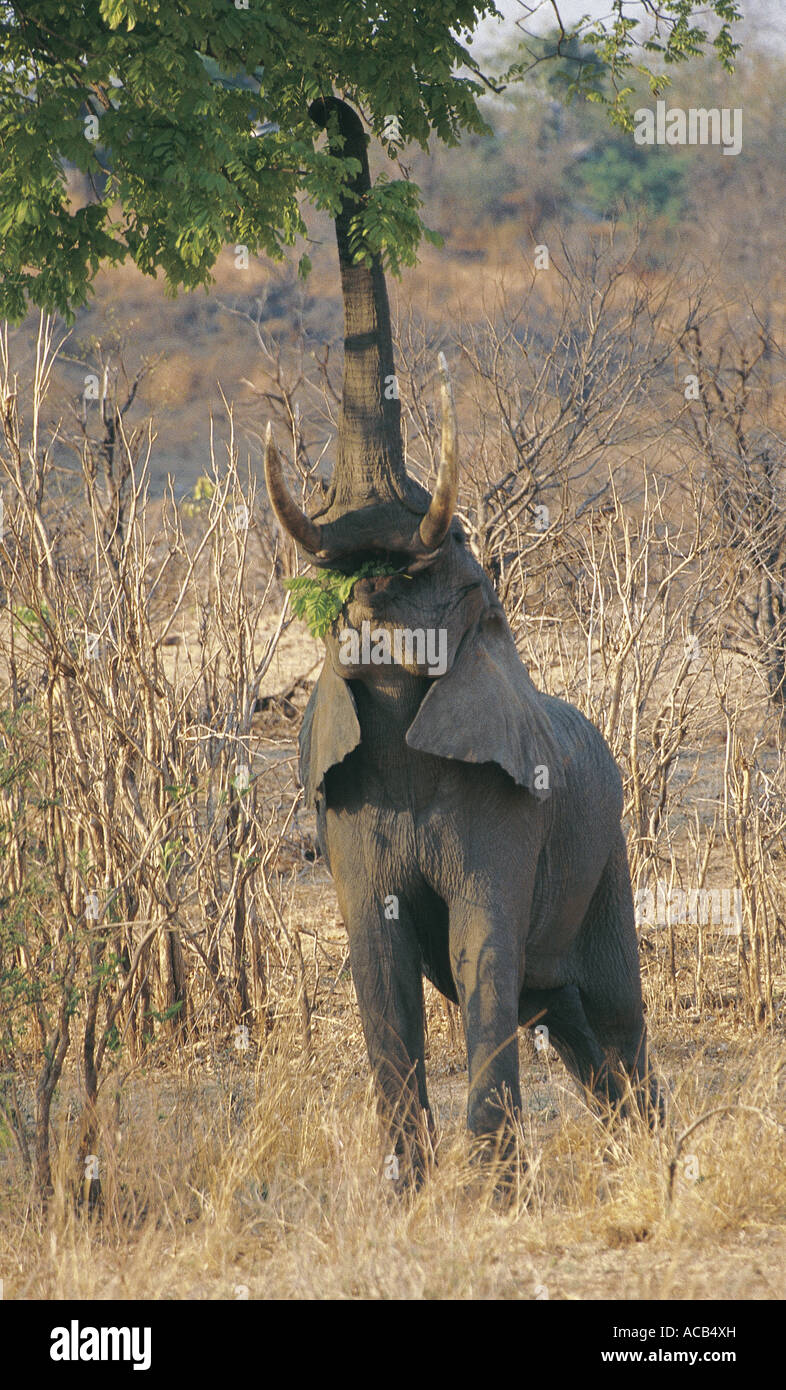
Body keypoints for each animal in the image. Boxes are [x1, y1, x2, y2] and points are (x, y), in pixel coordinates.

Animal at [265, 97, 660, 1180]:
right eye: (333, 596)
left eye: (450, 567)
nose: (328, 109)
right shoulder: (345, 800)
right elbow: (377, 962)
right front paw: (410, 1189)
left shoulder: (508, 810)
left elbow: (485, 950)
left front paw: (488, 1190)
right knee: (576, 1032)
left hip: (608, 853)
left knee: (614, 1018)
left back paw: (663, 1157)